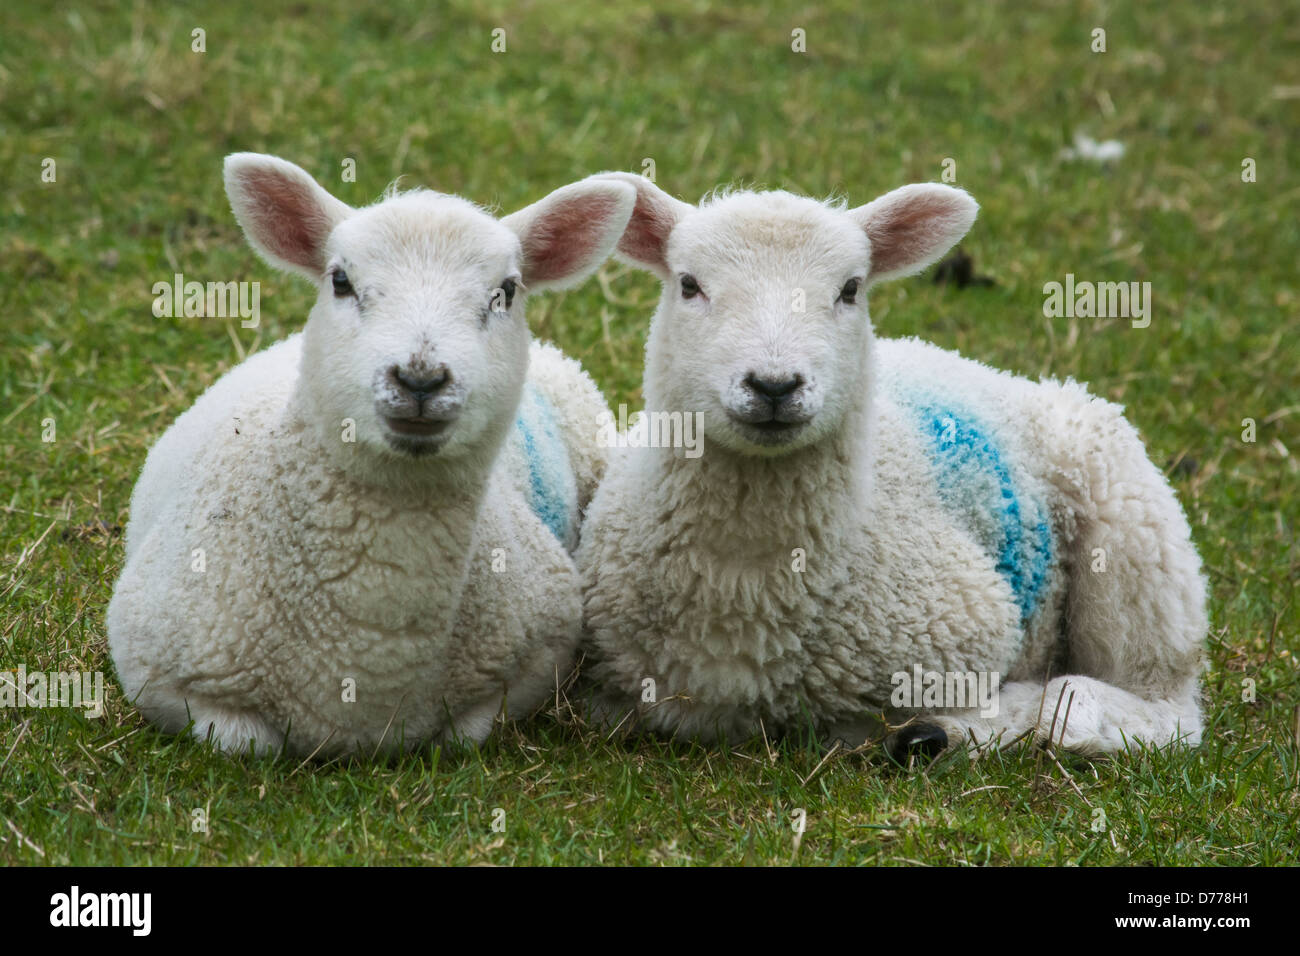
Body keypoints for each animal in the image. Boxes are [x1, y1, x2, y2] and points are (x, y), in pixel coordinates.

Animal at [107, 154, 636, 757]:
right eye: (341, 281)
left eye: (505, 290)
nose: (420, 379)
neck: (375, 638)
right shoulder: (157, 670)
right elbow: (246, 742)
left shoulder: (537, 657)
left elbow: (465, 736)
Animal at [576, 174, 1208, 759]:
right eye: (689, 284)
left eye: (850, 289)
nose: (774, 385)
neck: (744, 584)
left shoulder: (972, 626)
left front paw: (967, 724)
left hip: (1136, 542)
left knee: (1166, 705)